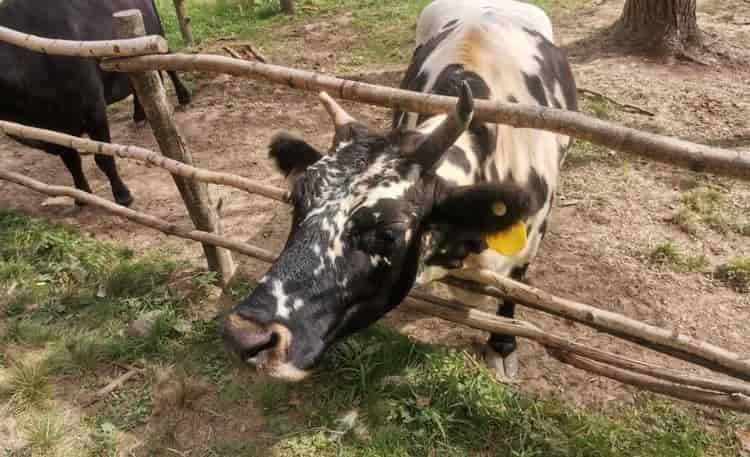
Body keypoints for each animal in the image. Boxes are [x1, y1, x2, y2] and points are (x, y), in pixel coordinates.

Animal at [0, 0, 192, 207]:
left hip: (155, 36)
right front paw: (82, 195)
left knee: (168, 61)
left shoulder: (94, 111)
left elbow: (103, 157)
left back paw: (184, 97)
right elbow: (72, 161)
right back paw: (140, 114)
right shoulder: (57, 130)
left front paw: (122, 195)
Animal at [223, 0, 577, 381]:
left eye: (388, 234)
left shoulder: (527, 248)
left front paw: (503, 346)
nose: (245, 334)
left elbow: (513, 296)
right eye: (296, 201)